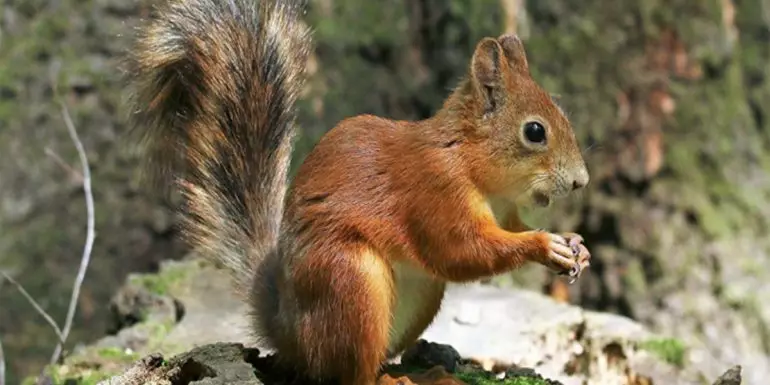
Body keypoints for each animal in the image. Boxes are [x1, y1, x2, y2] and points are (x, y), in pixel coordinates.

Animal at [127, 0, 588, 384]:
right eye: (534, 131)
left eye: (563, 113)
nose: (580, 181)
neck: (472, 163)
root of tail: (287, 329)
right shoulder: (434, 193)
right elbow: (461, 252)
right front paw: (544, 245)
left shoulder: (505, 210)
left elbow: (507, 231)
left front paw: (575, 245)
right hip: (350, 280)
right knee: (349, 374)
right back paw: (395, 381)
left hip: (418, 295)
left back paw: (430, 373)